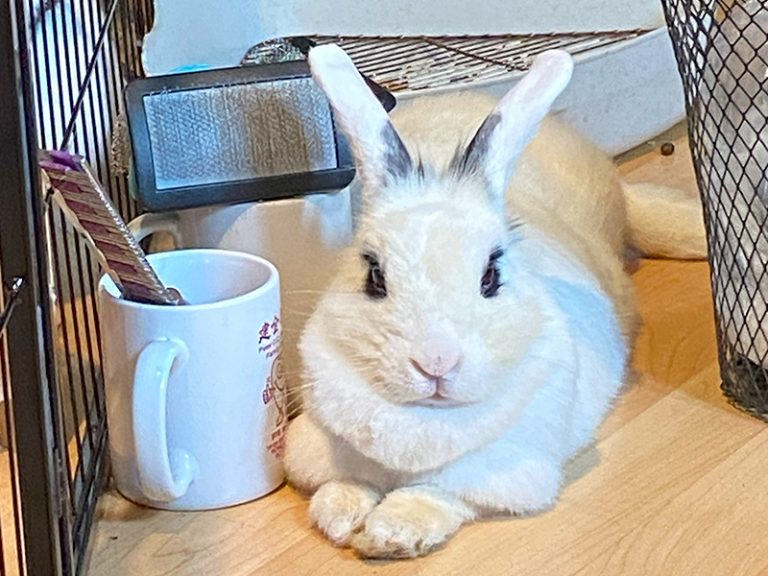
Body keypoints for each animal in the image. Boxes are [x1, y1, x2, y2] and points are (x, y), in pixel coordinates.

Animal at [282, 44, 707, 559]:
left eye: (491, 276)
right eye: (374, 276)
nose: (436, 361)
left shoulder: (510, 469)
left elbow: (441, 492)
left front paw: (392, 532)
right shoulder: (315, 442)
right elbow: (340, 481)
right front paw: (339, 515)